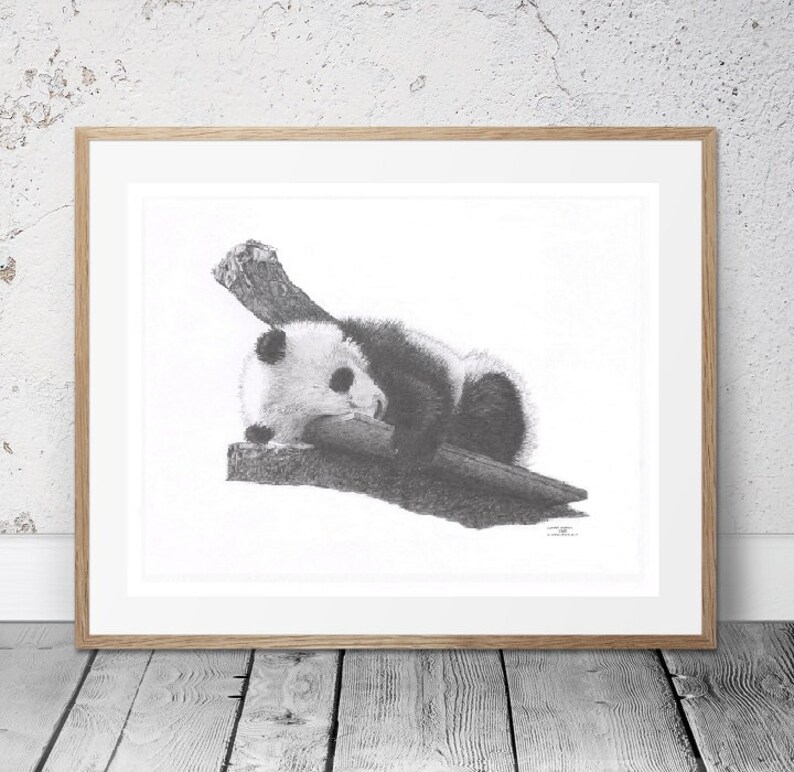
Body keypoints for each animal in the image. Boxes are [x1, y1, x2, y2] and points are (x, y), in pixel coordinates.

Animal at [239, 318, 536, 467]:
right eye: (322, 418)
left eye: (340, 379)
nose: (372, 408)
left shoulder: (382, 345)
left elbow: (424, 391)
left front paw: (411, 442)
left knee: (492, 401)